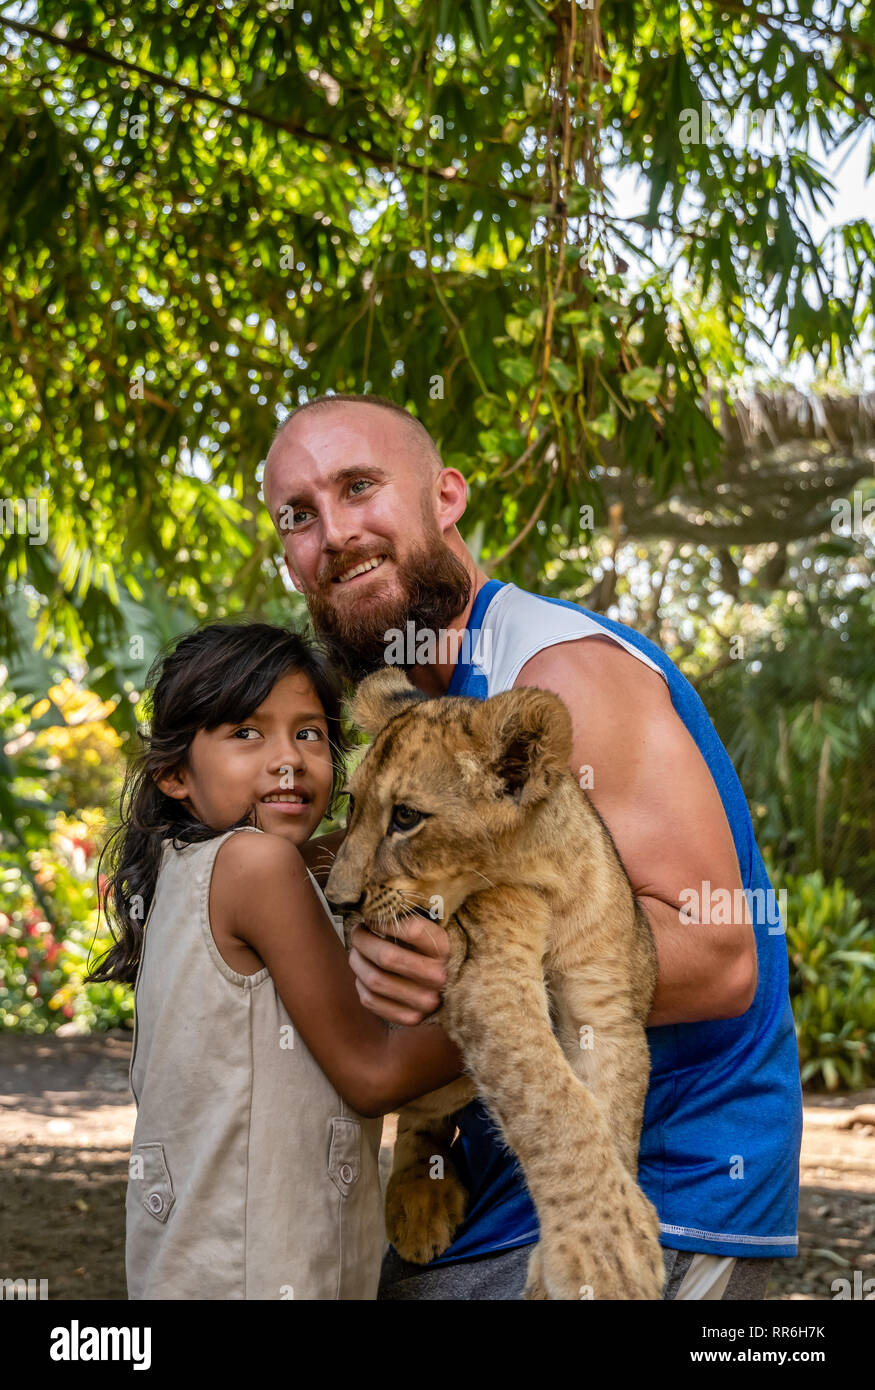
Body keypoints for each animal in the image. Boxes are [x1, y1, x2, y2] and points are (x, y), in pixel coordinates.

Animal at [325, 666, 664, 1300]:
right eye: (351, 805)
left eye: (405, 817)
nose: (339, 902)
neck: (550, 881)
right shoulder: (490, 976)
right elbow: (555, 1107)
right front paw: (605, 1252)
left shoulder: (604, 1006)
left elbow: (606, 1117)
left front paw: (598, 1247)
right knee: (418, 1116)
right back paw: (418, 1204)